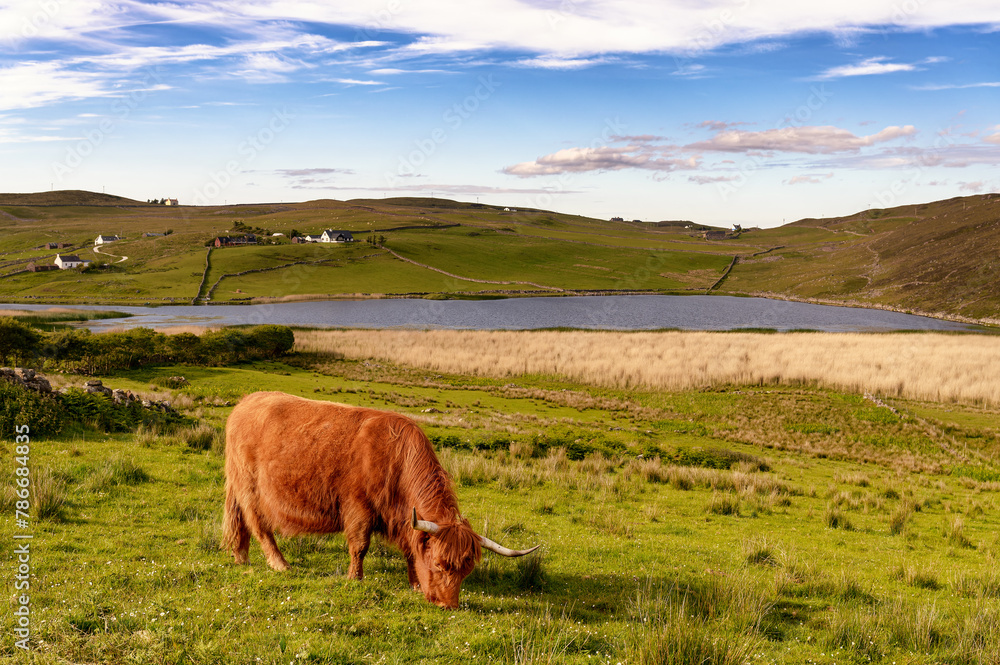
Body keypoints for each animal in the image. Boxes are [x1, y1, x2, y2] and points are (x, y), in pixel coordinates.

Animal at [222, 391, 539, 609]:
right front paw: (355, 578)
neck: (396, 460)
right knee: (260, 526)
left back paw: (241, 557)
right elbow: (359, 546)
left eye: (467, 570)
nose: (448, 605)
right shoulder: (358, 507)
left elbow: (410, 549)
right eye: (439, 565)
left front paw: (414, 583)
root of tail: (246, 402)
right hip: (250, 488)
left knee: (240, 525)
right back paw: (280, 564)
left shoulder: (403, 518)